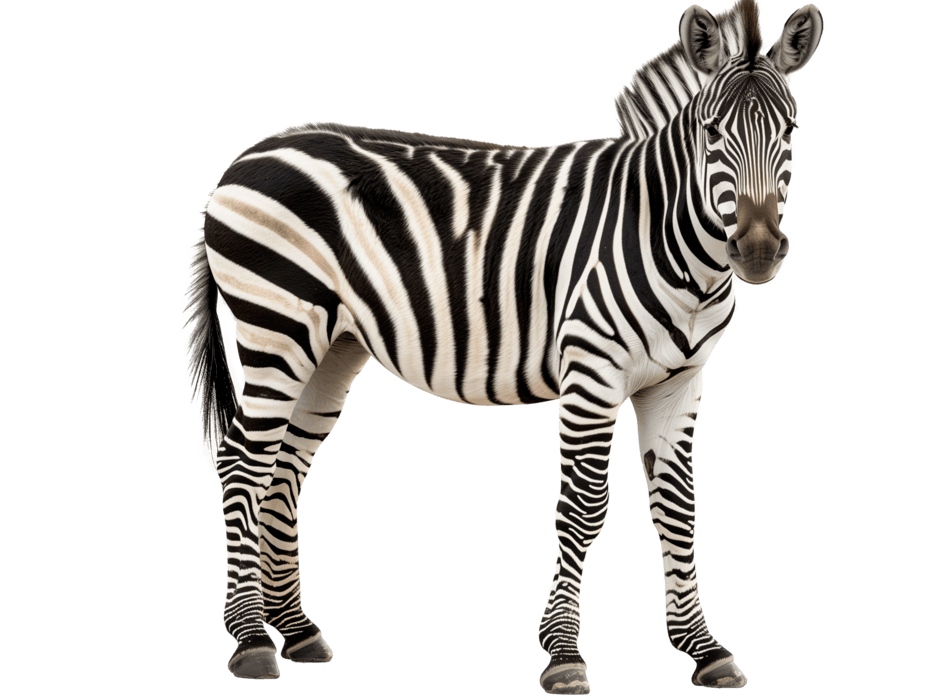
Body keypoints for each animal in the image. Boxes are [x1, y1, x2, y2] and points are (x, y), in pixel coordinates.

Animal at [180, 0, 825, 693]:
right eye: (711, 133)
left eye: (791, 129)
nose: (757, 252)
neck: (667, 233)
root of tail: (247, 157)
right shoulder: (592, 371)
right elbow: (583, 507)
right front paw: (564, 654)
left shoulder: (678, 380)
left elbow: (678, 508)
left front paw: (704, 649)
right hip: (277, 326)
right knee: (244, 463)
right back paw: (250, 638)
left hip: (330, 346)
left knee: (284, 470)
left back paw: (296, 630)